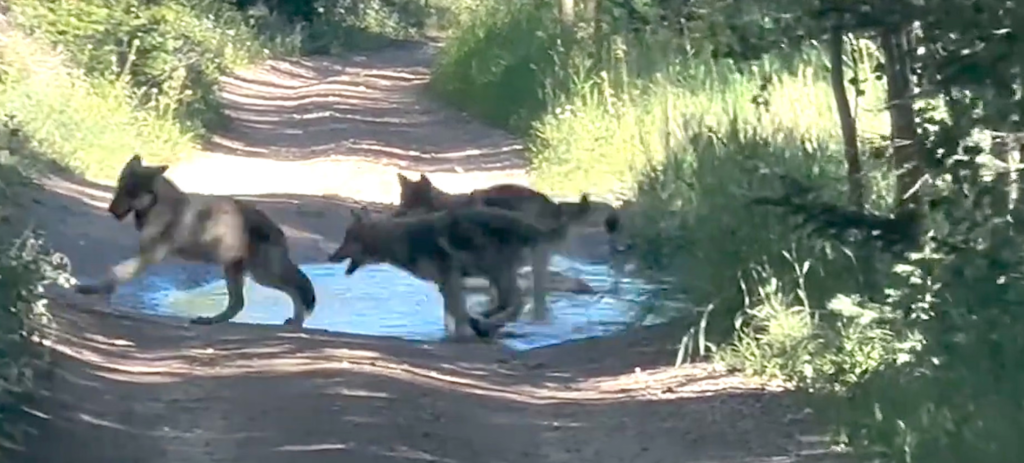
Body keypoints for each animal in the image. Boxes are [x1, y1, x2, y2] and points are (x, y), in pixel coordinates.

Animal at [74, 154, 317, 328]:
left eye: (132, 193)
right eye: (119, 188)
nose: (111, 210)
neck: (158, 205)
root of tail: (277, 228)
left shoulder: (149, 256)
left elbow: (116, 273)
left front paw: (94, 289)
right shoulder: (144, 254)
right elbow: (117, 273)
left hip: (263, 275)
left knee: (297, 288)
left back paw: (297, 321)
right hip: (235, 271)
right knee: (238, 304)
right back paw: (209, 321)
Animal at [327, 205, 570, 340]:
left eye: (348, 239)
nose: (330, 256)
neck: (397, 239)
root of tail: (530, 225)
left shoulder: (450, 280)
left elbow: (458, 313)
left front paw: (466, 333)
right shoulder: (445, 284)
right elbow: (455, 313)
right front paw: (463, 331)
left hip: (497, 272)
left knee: (516, 303)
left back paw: (486, 323)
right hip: (496, 275)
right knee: (510, 304)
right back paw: (486, 322)